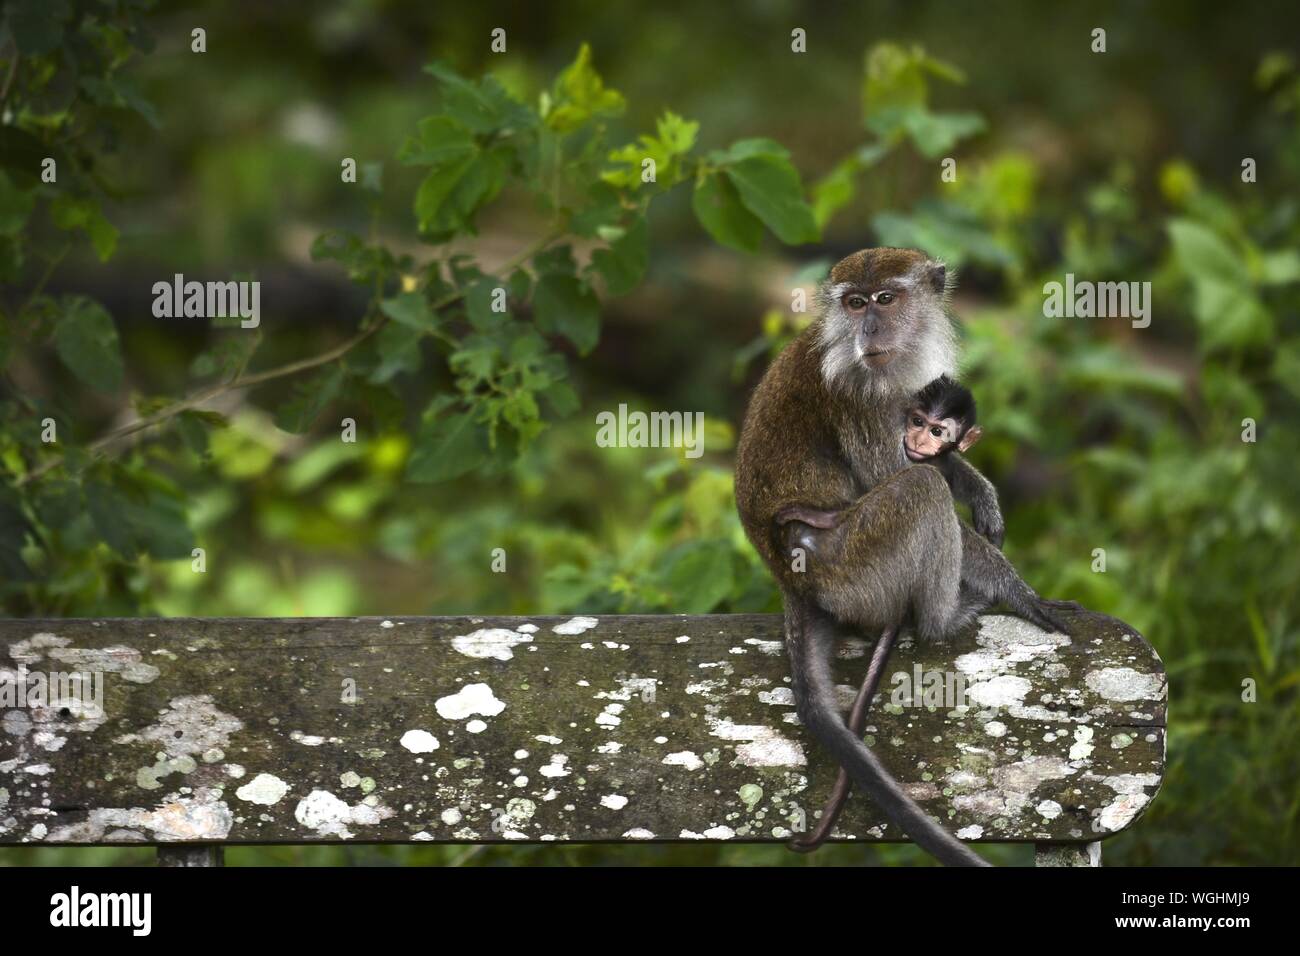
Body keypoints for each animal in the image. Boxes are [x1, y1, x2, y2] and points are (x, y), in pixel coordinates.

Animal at [734, 247, 1081, 866]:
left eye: (885, 299)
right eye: (855, 303)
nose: (869, 329)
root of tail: (790, 580)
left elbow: (934, 459)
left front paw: (978, 489)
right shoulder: (863, 399)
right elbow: (901, 475)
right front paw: (1022, 592)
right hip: (847, 563)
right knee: (919, 491)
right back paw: (945, 617)